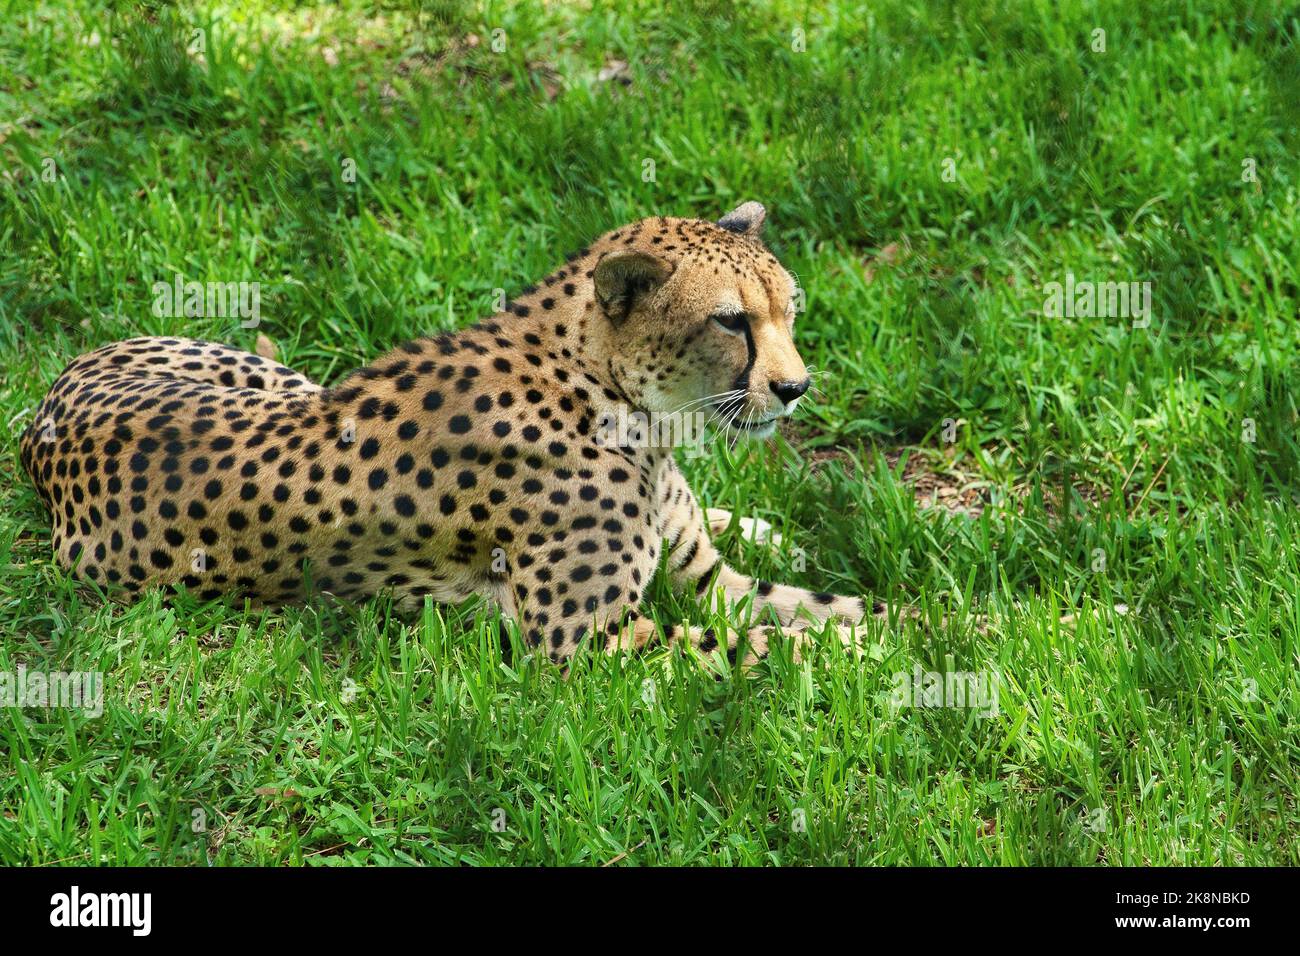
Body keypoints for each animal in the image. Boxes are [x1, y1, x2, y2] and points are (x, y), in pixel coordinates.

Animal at [20, 201, 878, 668]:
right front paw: (878, 658)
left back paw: (761, 524)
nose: (795, 388)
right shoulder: (584, 642)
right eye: (731, 321)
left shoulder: (706, 583)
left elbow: (823, 606)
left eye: (789, 309)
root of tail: (42, 413)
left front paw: (901, 626)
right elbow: (769, 645)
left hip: (299, 384)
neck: (618, 395)